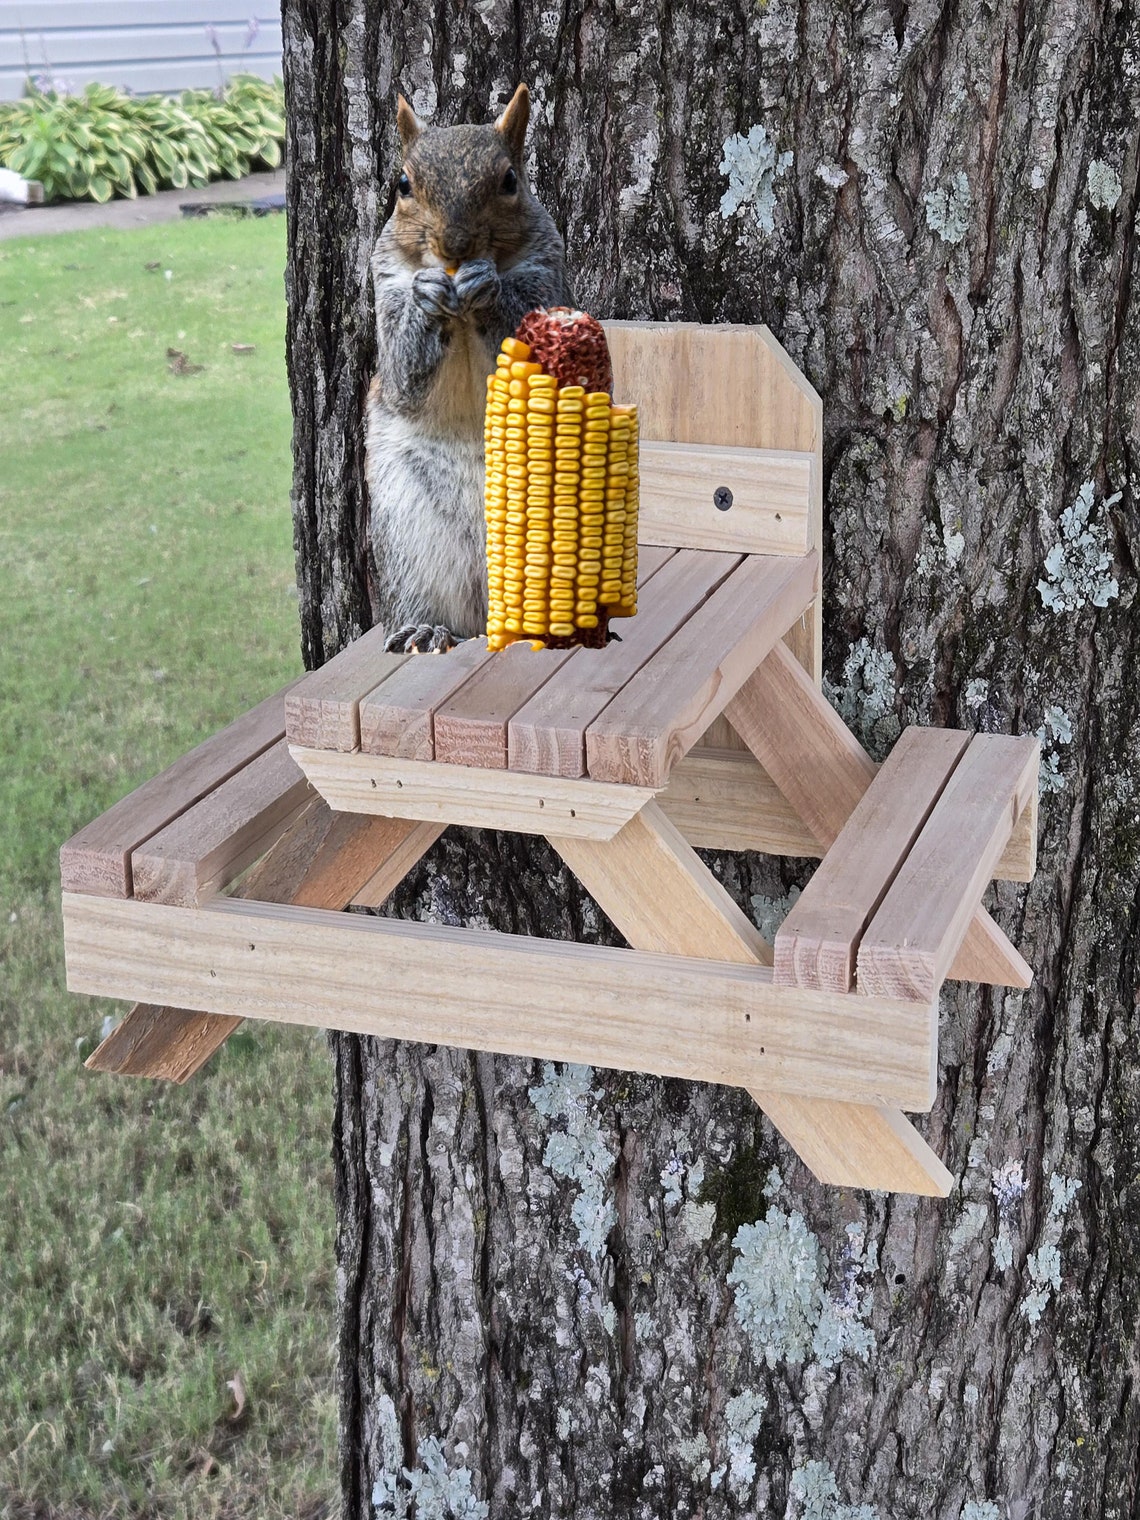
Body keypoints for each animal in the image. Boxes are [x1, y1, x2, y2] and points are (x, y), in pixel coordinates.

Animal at [365, 84, 571, 653]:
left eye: (510, 181)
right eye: (402, 184)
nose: (454, 247)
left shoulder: (547, 278)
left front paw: (488, 289)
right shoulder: (385, 286)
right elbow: (402, 376)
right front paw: (429, 297)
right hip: (407, 536)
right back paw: (424, 630)